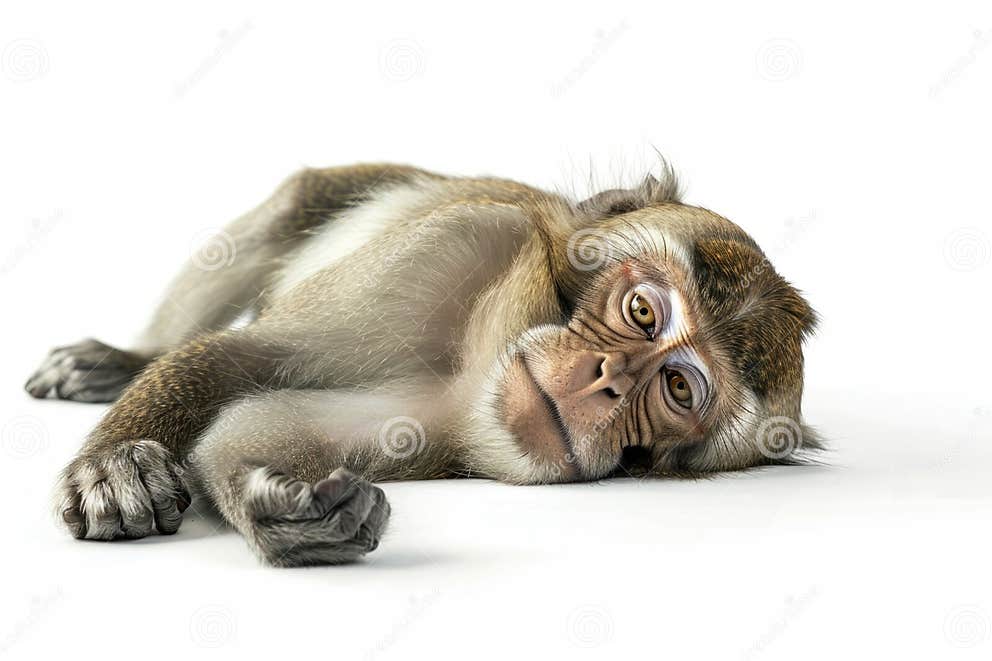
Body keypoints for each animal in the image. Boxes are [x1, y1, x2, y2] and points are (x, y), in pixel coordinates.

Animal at [25, 161, 819, 567]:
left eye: (678, 388)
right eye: (643, 313)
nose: (607, 381)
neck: (481, 340)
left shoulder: (445, 421)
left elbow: (255, 424)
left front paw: (284, 510)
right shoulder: (458, 243)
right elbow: (243, 358)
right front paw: (116, 463)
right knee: (291, 205)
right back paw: (125, 357)